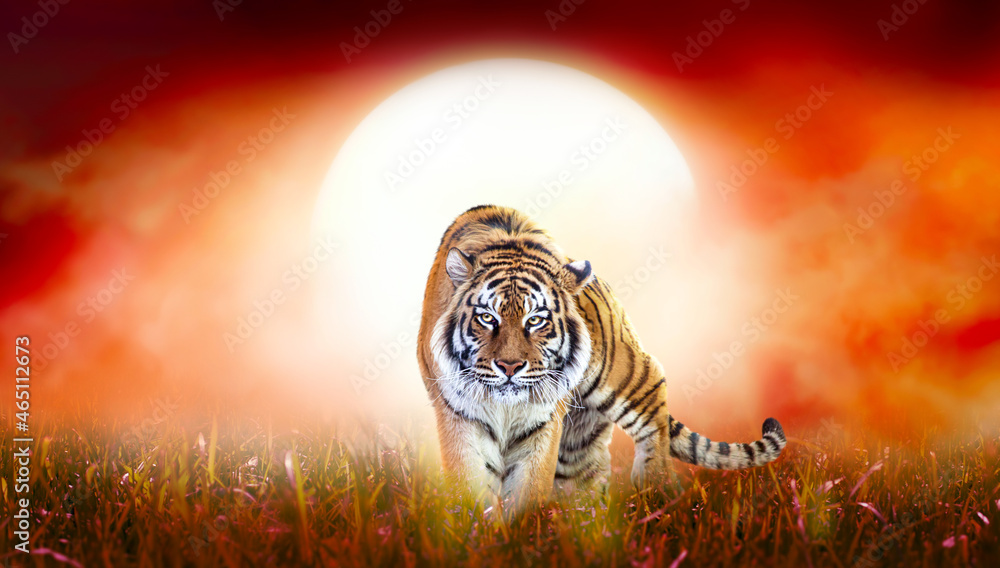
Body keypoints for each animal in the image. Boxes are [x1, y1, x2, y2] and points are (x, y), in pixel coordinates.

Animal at [417, 205, 786, 507]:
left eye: (535, 320)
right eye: (487, 318)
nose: (510, 366)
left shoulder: (542, 425)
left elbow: (528, 489)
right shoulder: (459, 418)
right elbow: (470, 487)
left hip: (621, 375)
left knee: (655, 388)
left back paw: (654, 488)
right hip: (579, 438)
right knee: (586, 477)